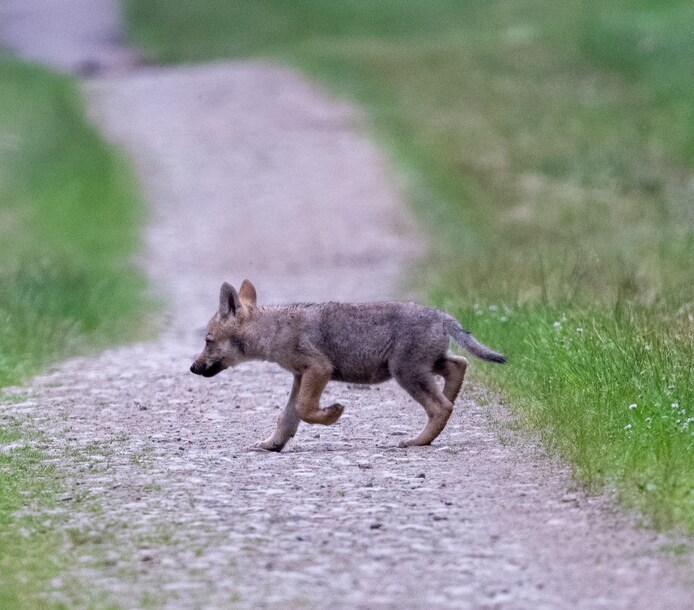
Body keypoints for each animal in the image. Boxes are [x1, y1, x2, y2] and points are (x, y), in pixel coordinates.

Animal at [190, 280, 506, 451]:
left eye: (207, 341)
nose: (193, 368)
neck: (273, 330)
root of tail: (443, 317)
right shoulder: (300, 376)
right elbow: (288, 417)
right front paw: (272, 445)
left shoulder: (319, 369)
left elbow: (304, 410)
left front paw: (333, 414)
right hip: (427, 365)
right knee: (458, 367)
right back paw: (445, 407)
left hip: (406, 372)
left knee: (440, 406)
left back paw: (417, 441)